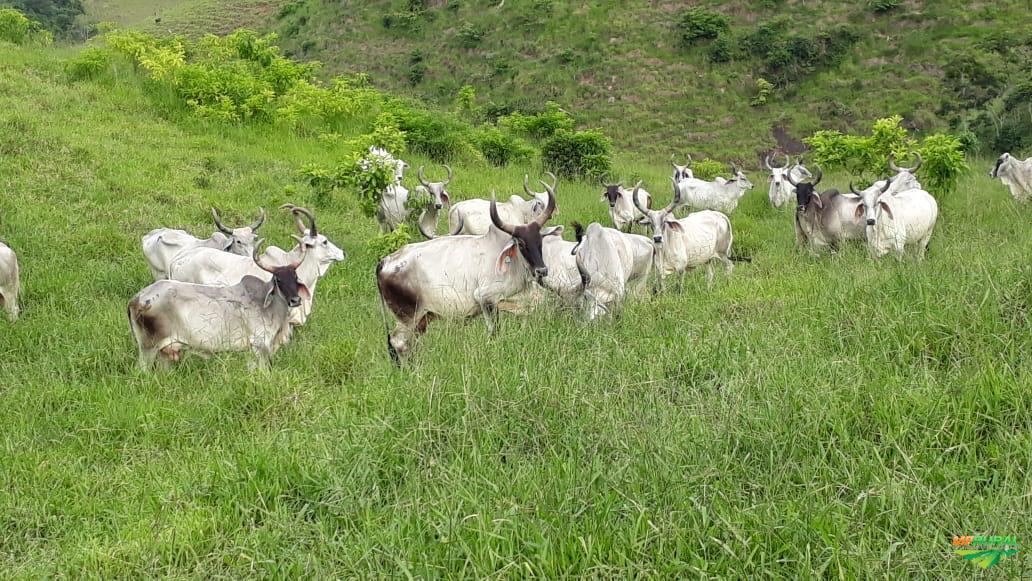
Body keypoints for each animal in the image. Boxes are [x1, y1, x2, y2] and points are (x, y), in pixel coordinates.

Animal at [128, 241, 307, 371]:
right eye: (278, 280)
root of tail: (136, 298)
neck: (268, 307)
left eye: (295, 277)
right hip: (148, 348)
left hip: (165, 352)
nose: (295, 300)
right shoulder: (260, 345)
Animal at [377, 183, 559, 362]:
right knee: (399, 343)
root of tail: (384, 262)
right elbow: (494, 333)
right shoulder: (486, 299)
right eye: (521, 243)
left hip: (421, 319)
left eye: (540, 240)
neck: (511, 262)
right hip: (407, 317)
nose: (542, 270)